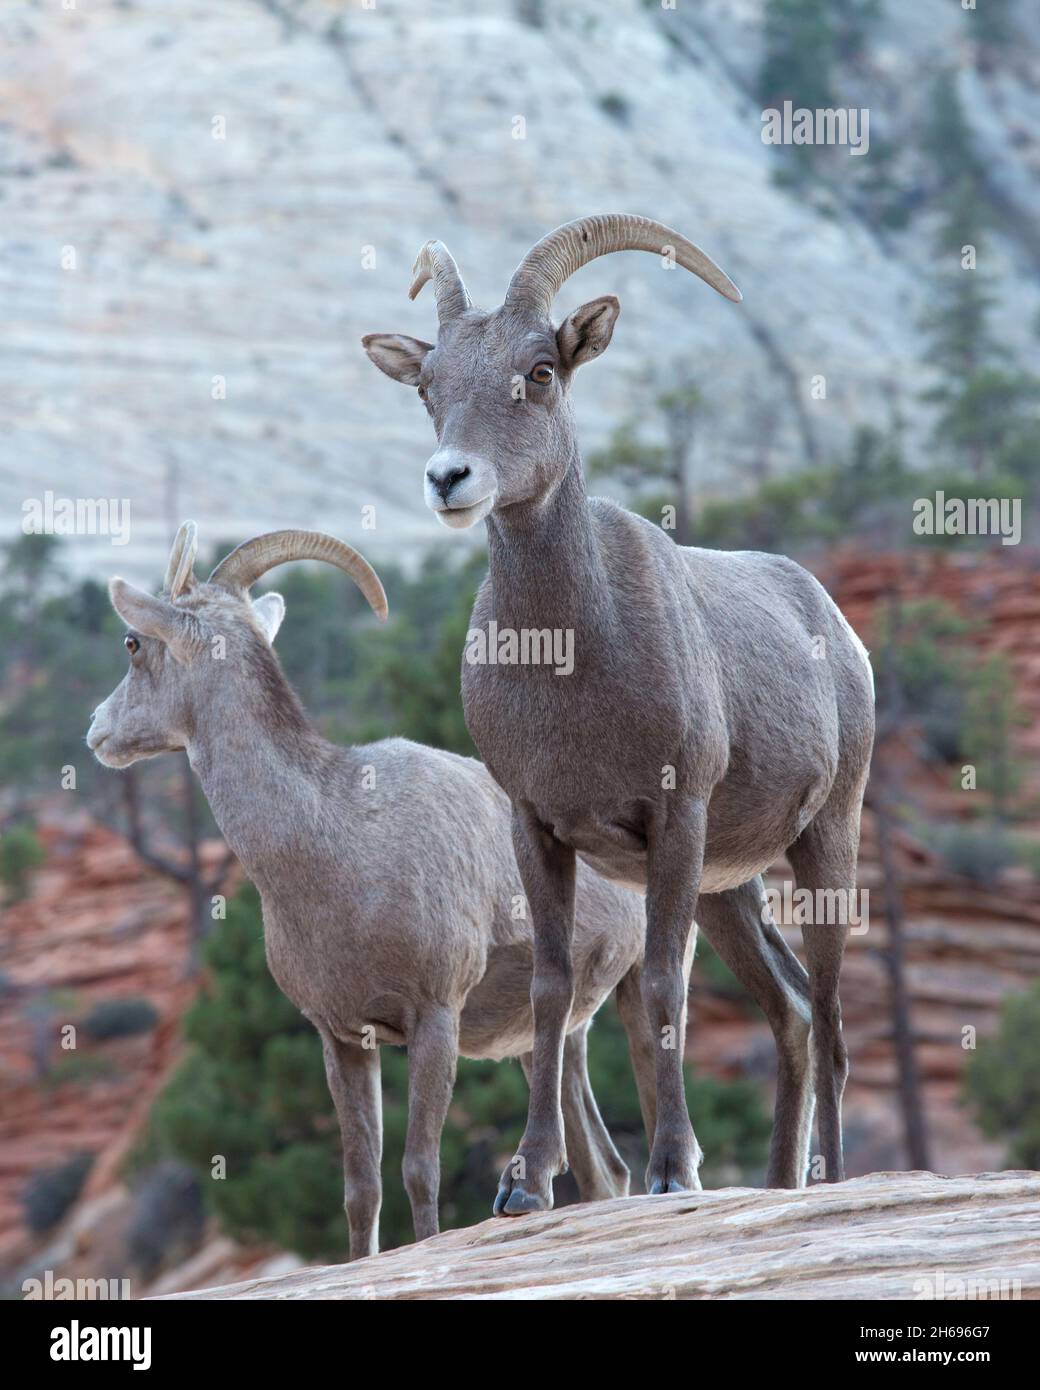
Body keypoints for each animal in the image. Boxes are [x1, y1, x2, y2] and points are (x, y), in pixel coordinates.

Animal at [87, 522, 681, 1258]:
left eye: (133, 643)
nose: (96, 731)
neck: (338, 844)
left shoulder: (435, 1021)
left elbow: (419, 1170)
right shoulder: (343, 1040)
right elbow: (360, 1187)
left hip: (636, 989)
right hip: (555, 1039)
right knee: (603, 1170)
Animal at [362, 213, 876, 1215]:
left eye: (540, 370)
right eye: (430, 386)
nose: (450, 479)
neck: (573, 662)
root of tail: (833, 623)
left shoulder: (675, 818)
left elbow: (666, 993)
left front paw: (673, 1171)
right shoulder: (539, 828)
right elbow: (552, 993)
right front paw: (527, 1187)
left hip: (821, 840)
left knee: (833, 1017)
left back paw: (827, 1182)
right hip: (730, 889)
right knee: (793, 1011)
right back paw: (774, 1182)